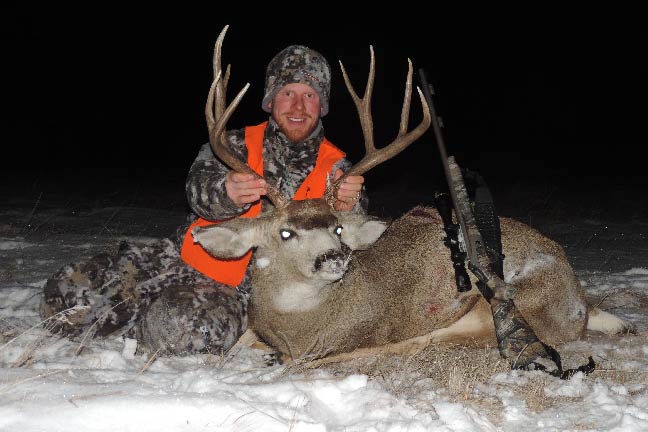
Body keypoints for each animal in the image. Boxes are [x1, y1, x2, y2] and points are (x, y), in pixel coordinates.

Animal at [191, 26, 633, 370]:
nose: (334, 257)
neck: (295, 326)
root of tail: (579, 296)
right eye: (285, 233)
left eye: (337, 227)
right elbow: (231, 349)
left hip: (517, 299)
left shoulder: (342, 339)